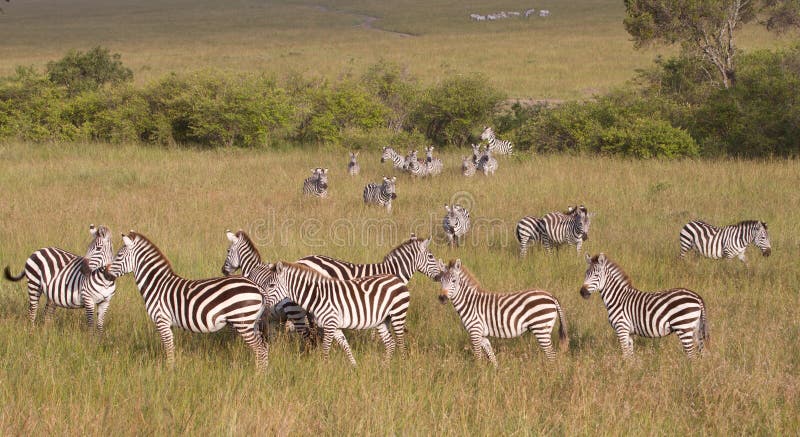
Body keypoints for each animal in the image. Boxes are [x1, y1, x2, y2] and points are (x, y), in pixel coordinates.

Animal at [108, 232, 268, 370]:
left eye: (119, 255)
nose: (105, 271)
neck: (157, 284)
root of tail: (257, 287)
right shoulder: (168, 324)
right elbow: (171, 348)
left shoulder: (162, 320)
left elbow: (169, 350)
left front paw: (169, 372)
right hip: (252, 322)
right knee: (264, 348)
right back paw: (262, 375)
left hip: (243, 321)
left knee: (260, 349)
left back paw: (257, 375)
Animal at [262, 261, 410, 366]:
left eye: (271, 286)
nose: (263, 303)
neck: (318, 296)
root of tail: (396, 279)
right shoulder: (335, 325)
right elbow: (346, 346)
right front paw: (354, 367)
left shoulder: (330, 323)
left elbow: (325, 348)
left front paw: (324, 370)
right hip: (382, 320)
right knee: (390, 344)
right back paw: (385, 367)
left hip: (398, 314)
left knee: (401, 342)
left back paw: (402, 367)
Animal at [437, 259, 568, 366]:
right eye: (441, 281)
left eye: (453, 281)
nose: (442, 298)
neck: (469, 303)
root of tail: (551, 296)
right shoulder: (482, 335)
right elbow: (491, 355)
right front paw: (495, 372)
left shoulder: (475, 331)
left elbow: (478, 357)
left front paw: (477, 374)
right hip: (545, 329)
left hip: (541, 328)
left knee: (551, 355)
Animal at [580, 253, 709, 358]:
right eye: (585, 274)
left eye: (596, 275)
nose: (582, 292)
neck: (617, 298)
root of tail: (697, 297)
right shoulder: (629, 332)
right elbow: (630, 355)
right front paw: (631, 370)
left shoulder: (621, 328)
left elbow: (625, 354)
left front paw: (624, 371)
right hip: (696, 329)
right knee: (701, 354)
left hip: (684, 327)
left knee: (691, 356)